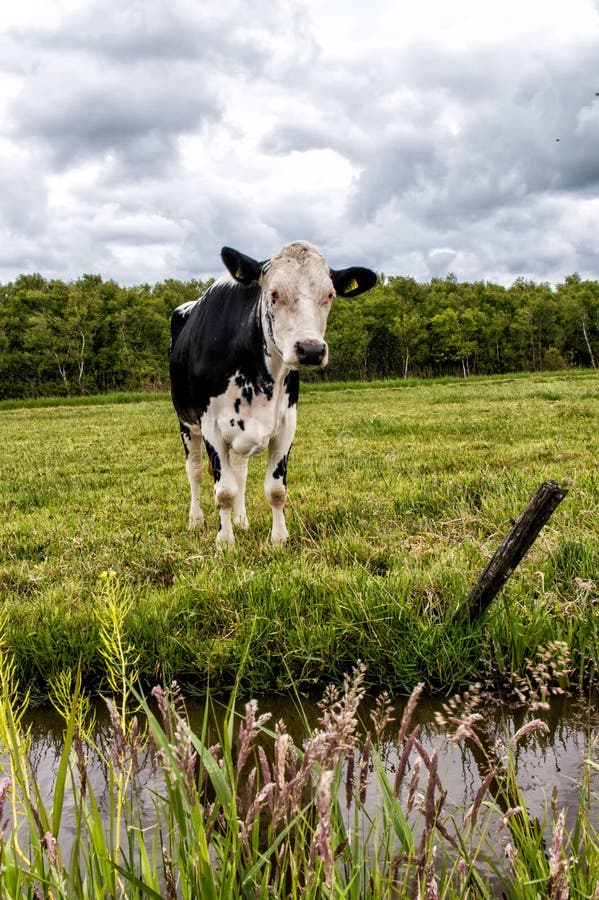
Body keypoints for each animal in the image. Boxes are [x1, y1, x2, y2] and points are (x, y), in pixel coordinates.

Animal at [169, 240, 377, 547]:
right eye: (274, 293)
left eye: (329, 295)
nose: (311, 349)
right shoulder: (210, 426)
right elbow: (224, 491)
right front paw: (225, 543)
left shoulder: (286, 422)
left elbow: (275, 489)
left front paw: (278, 539)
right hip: (186, 422)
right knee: (194, 471)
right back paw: (196, 521)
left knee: (240, 471)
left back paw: (241, 521)